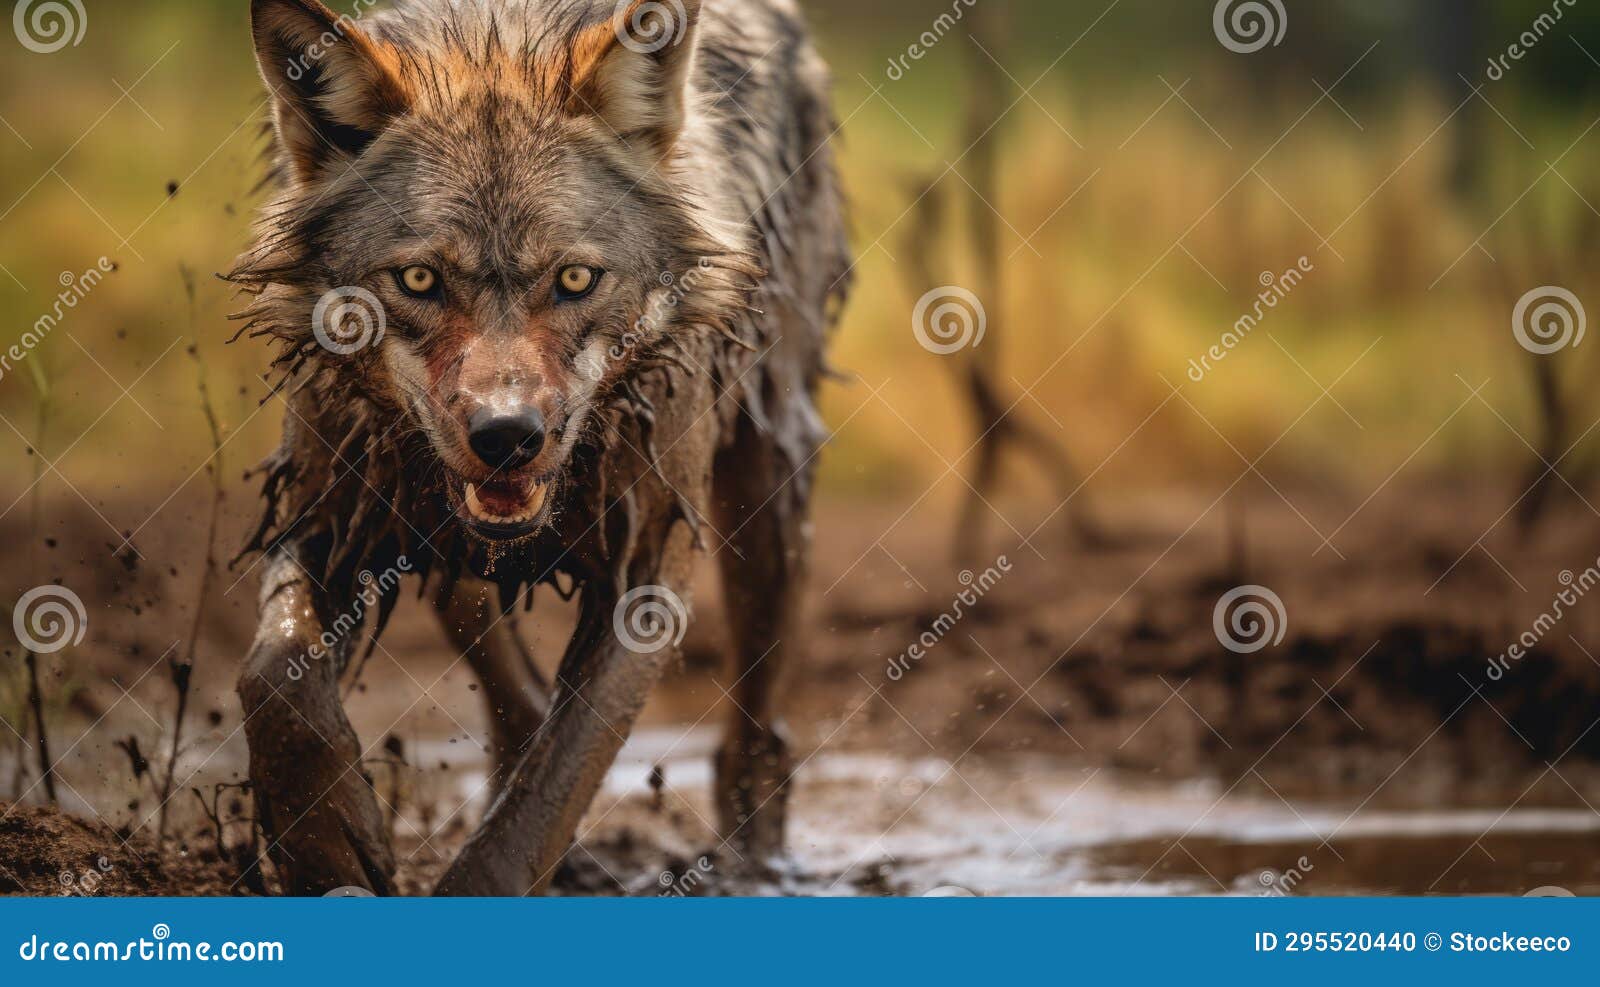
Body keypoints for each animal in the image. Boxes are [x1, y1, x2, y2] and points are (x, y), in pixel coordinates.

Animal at [228, 0, 850, 895]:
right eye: (418, 281)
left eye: (576, 280)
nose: (506, 436)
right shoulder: (327, 512)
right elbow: (274, 672)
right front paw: (323, 841)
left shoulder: (644, 578)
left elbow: (541, 804)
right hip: (442, 553)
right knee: (511, 691)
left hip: (768, 497)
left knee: (758, 732)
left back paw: (756, 864)